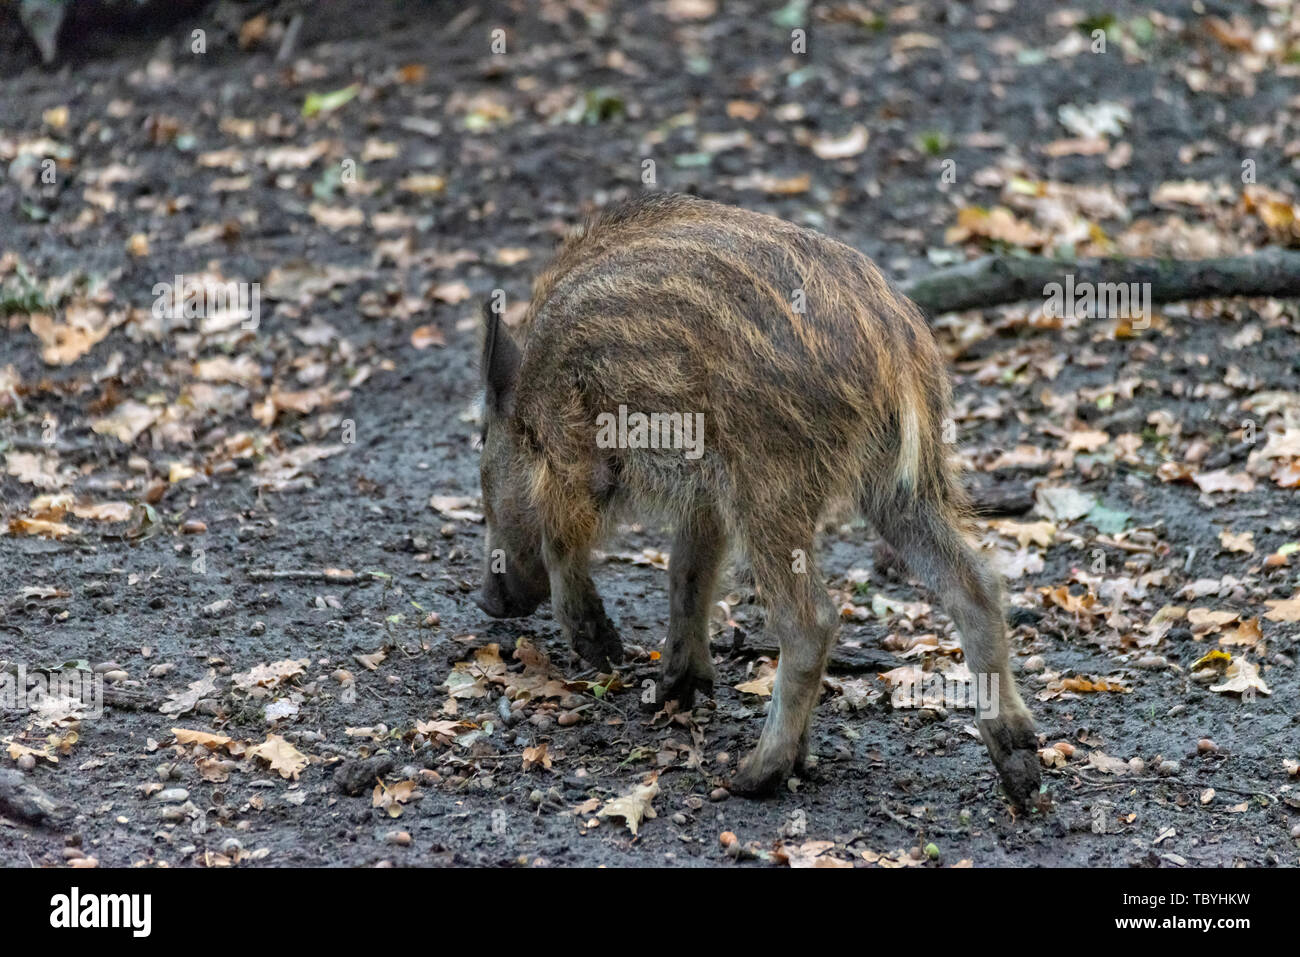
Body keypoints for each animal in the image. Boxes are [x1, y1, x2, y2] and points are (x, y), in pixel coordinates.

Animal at [475, 193, 1041, 808]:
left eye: (482, 460)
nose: (487, 602)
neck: (534, 397)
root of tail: (894, 343)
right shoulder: (704, 495)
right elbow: (687, 570)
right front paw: (677, 689)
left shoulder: (580, 460)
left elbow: (563, 540)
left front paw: (605, 651)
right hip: (903, 482)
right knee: (975, 584)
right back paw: (1020, 768)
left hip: (771, 482)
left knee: (812, 621)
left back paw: (754, 775)